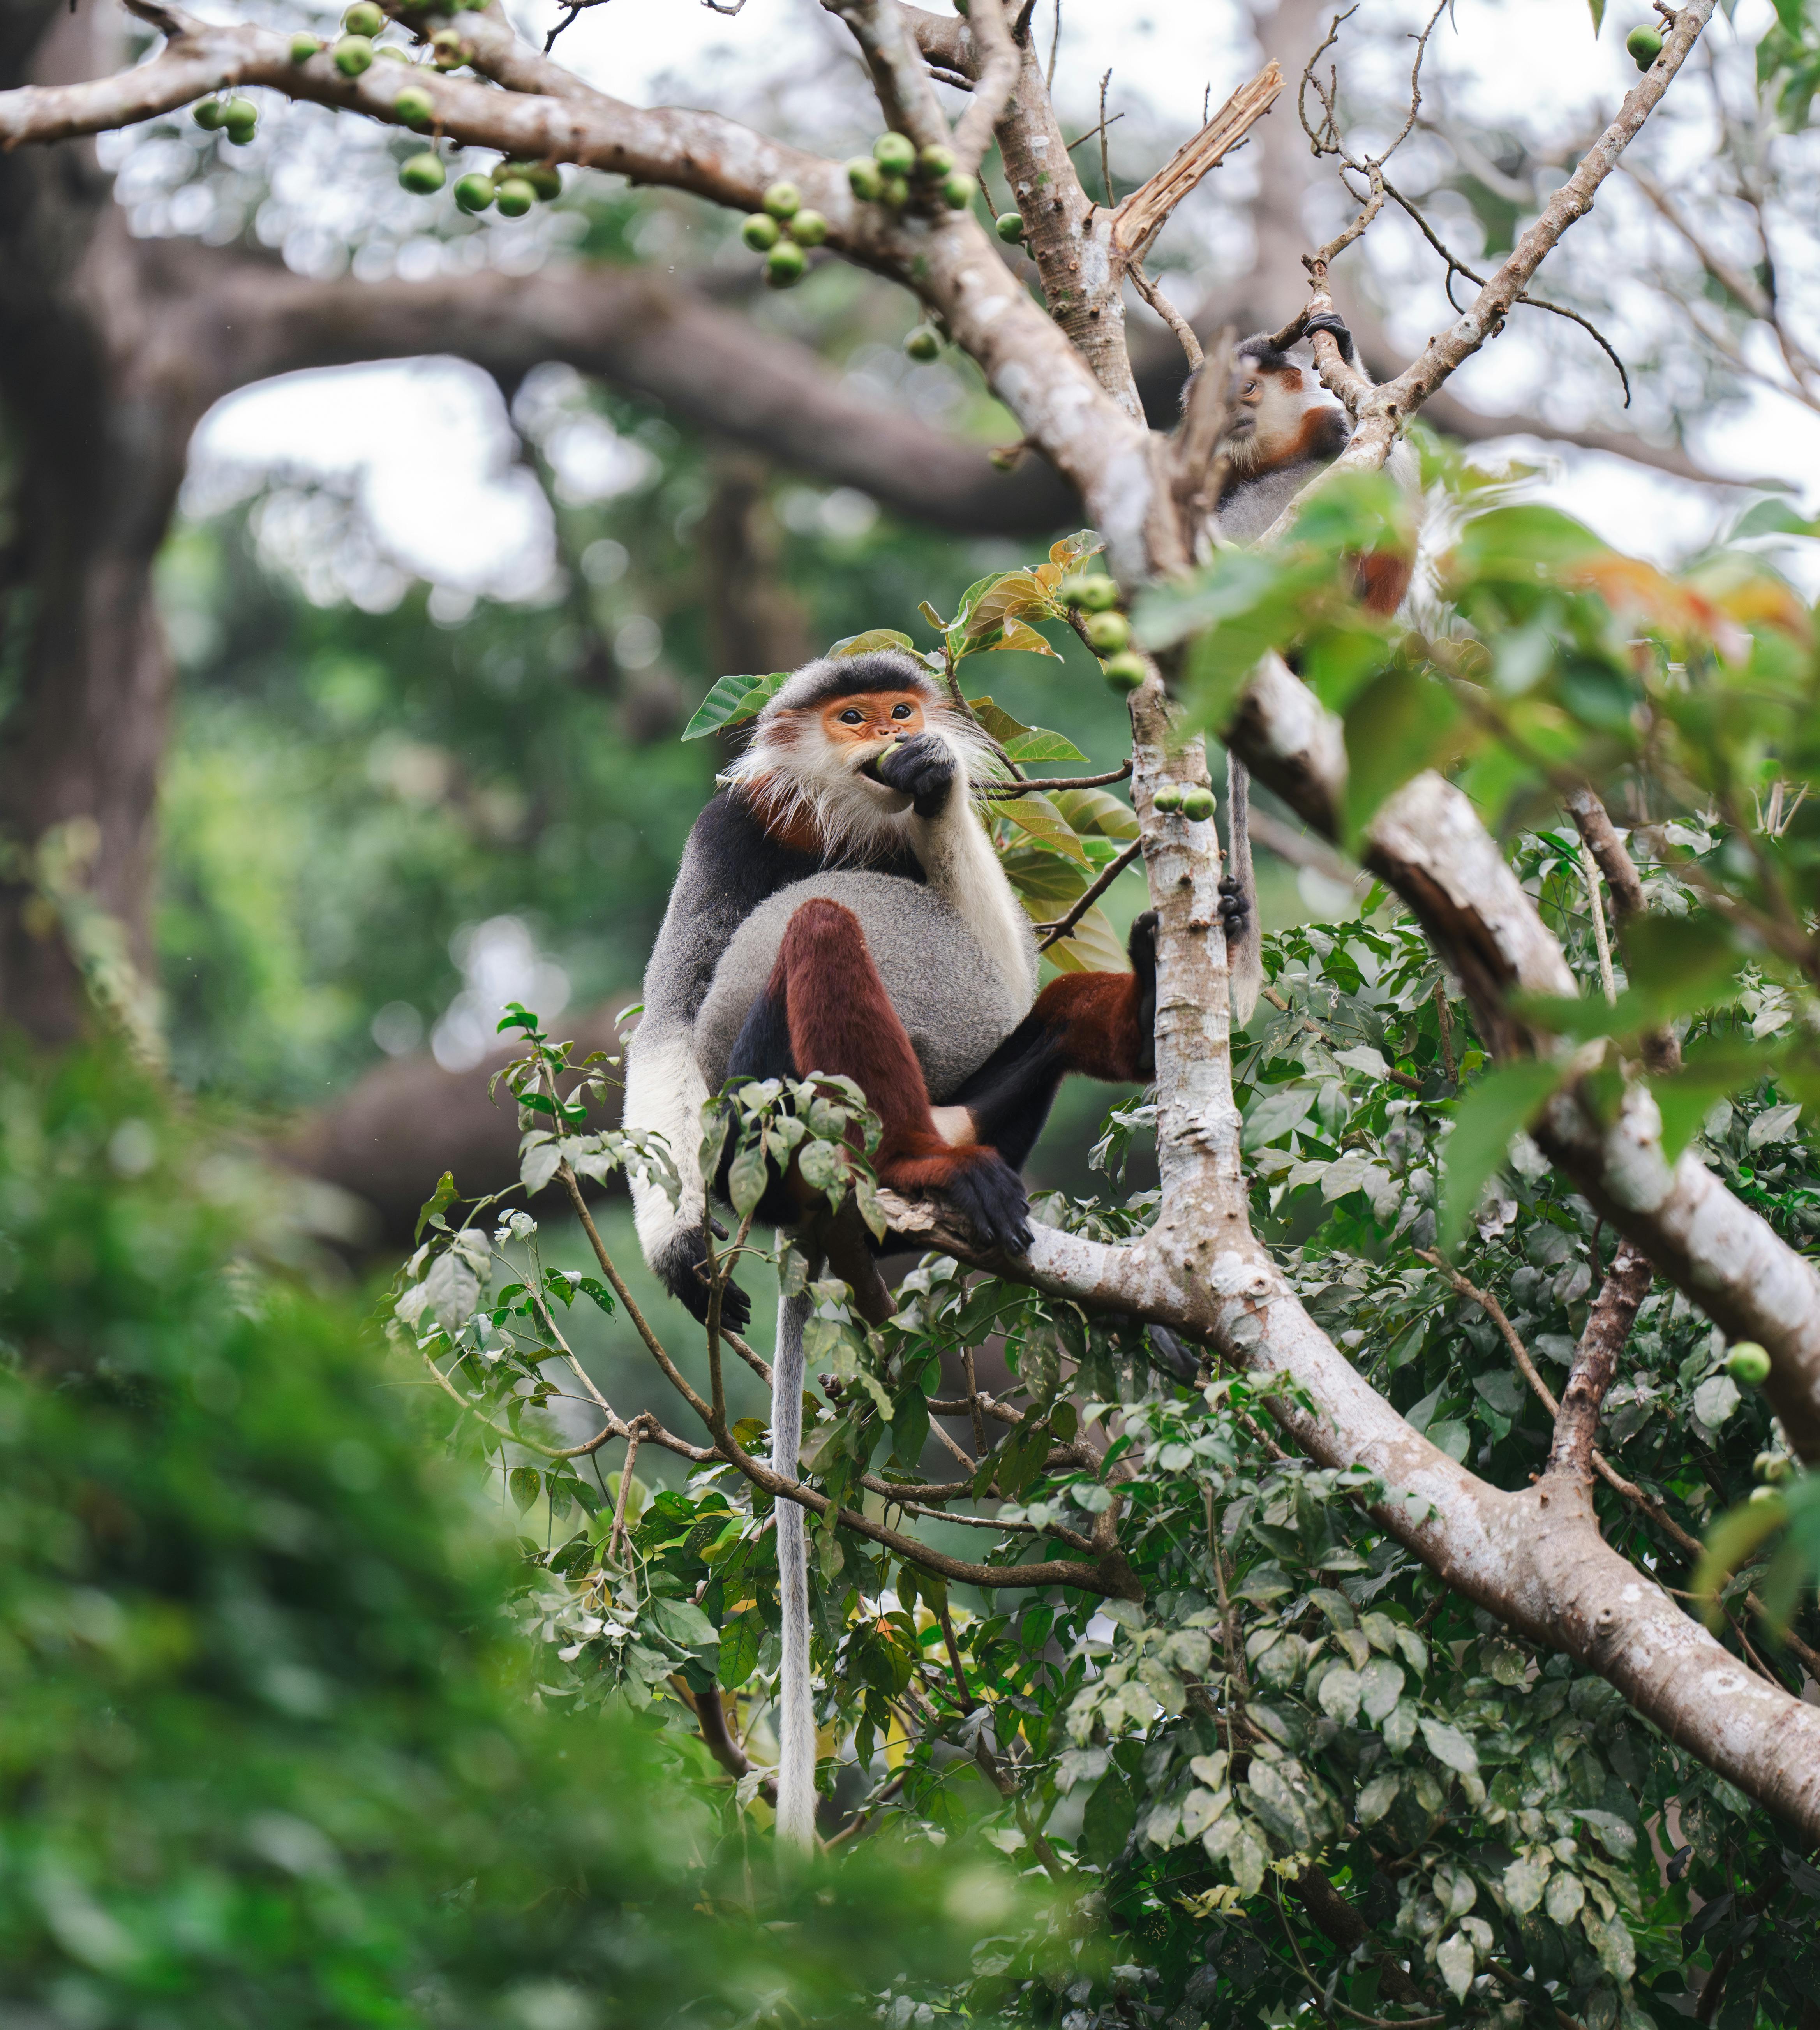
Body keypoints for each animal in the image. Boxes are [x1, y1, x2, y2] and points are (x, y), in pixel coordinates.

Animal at [622, 647, 1158, 1851]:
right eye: (853, 716)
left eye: (904, 710)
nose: (896, 737)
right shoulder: (728, 827)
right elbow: (667, 1024)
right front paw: (681, 1255)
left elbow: (1006, 963)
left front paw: (937, 785)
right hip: (765, 1129)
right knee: (819, 924)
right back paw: (920, 1169)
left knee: (1049, 1005)